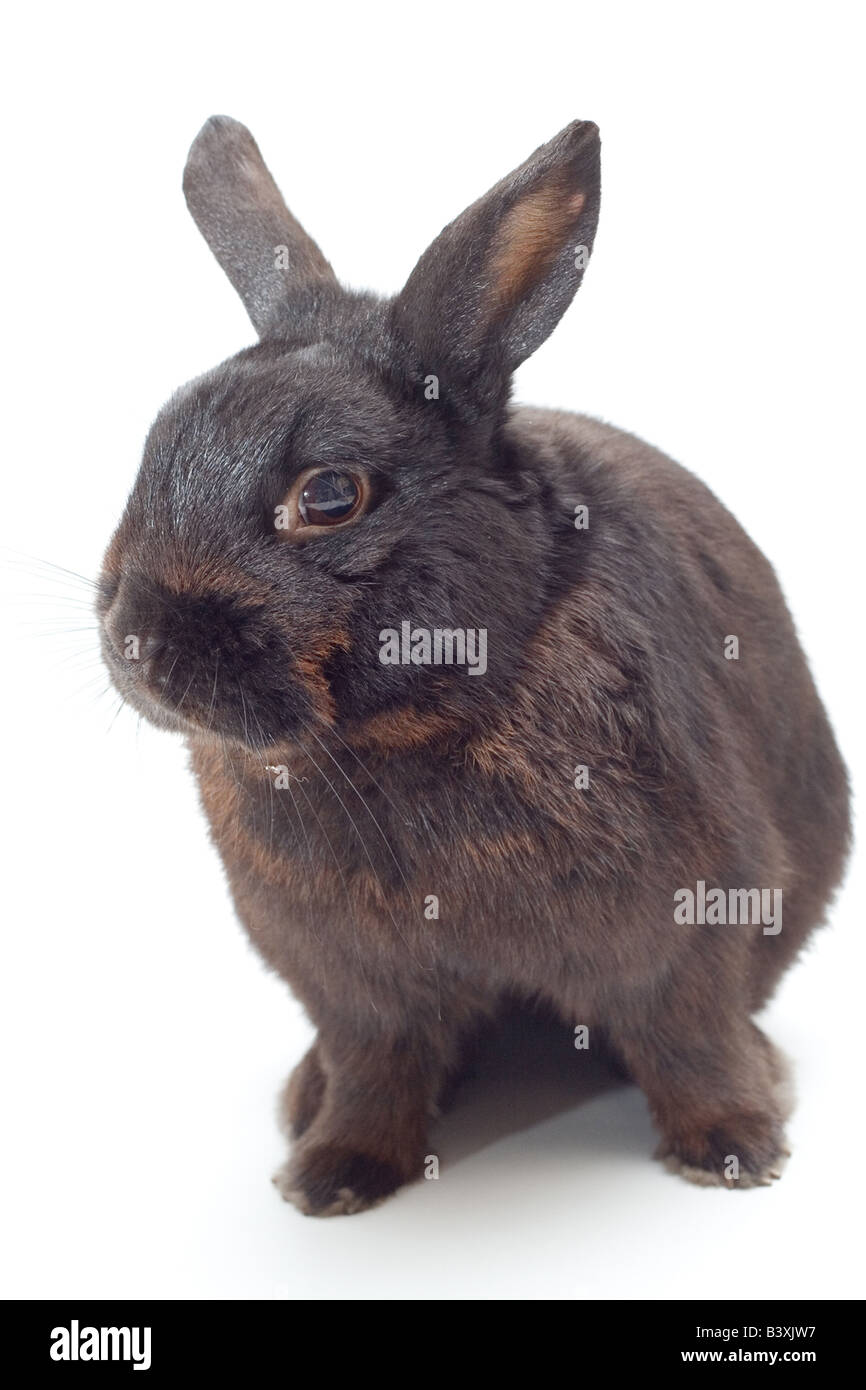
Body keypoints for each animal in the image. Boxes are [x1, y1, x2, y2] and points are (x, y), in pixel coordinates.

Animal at [98, 114, 850, 1216]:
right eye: (154, 449)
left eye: (330, 495)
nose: (138, 642)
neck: (412, 723)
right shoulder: (352, 987)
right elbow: (373, 1070)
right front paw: (331, 1176)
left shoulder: (693, 930)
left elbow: (691, 1042)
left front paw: (734, 1151)